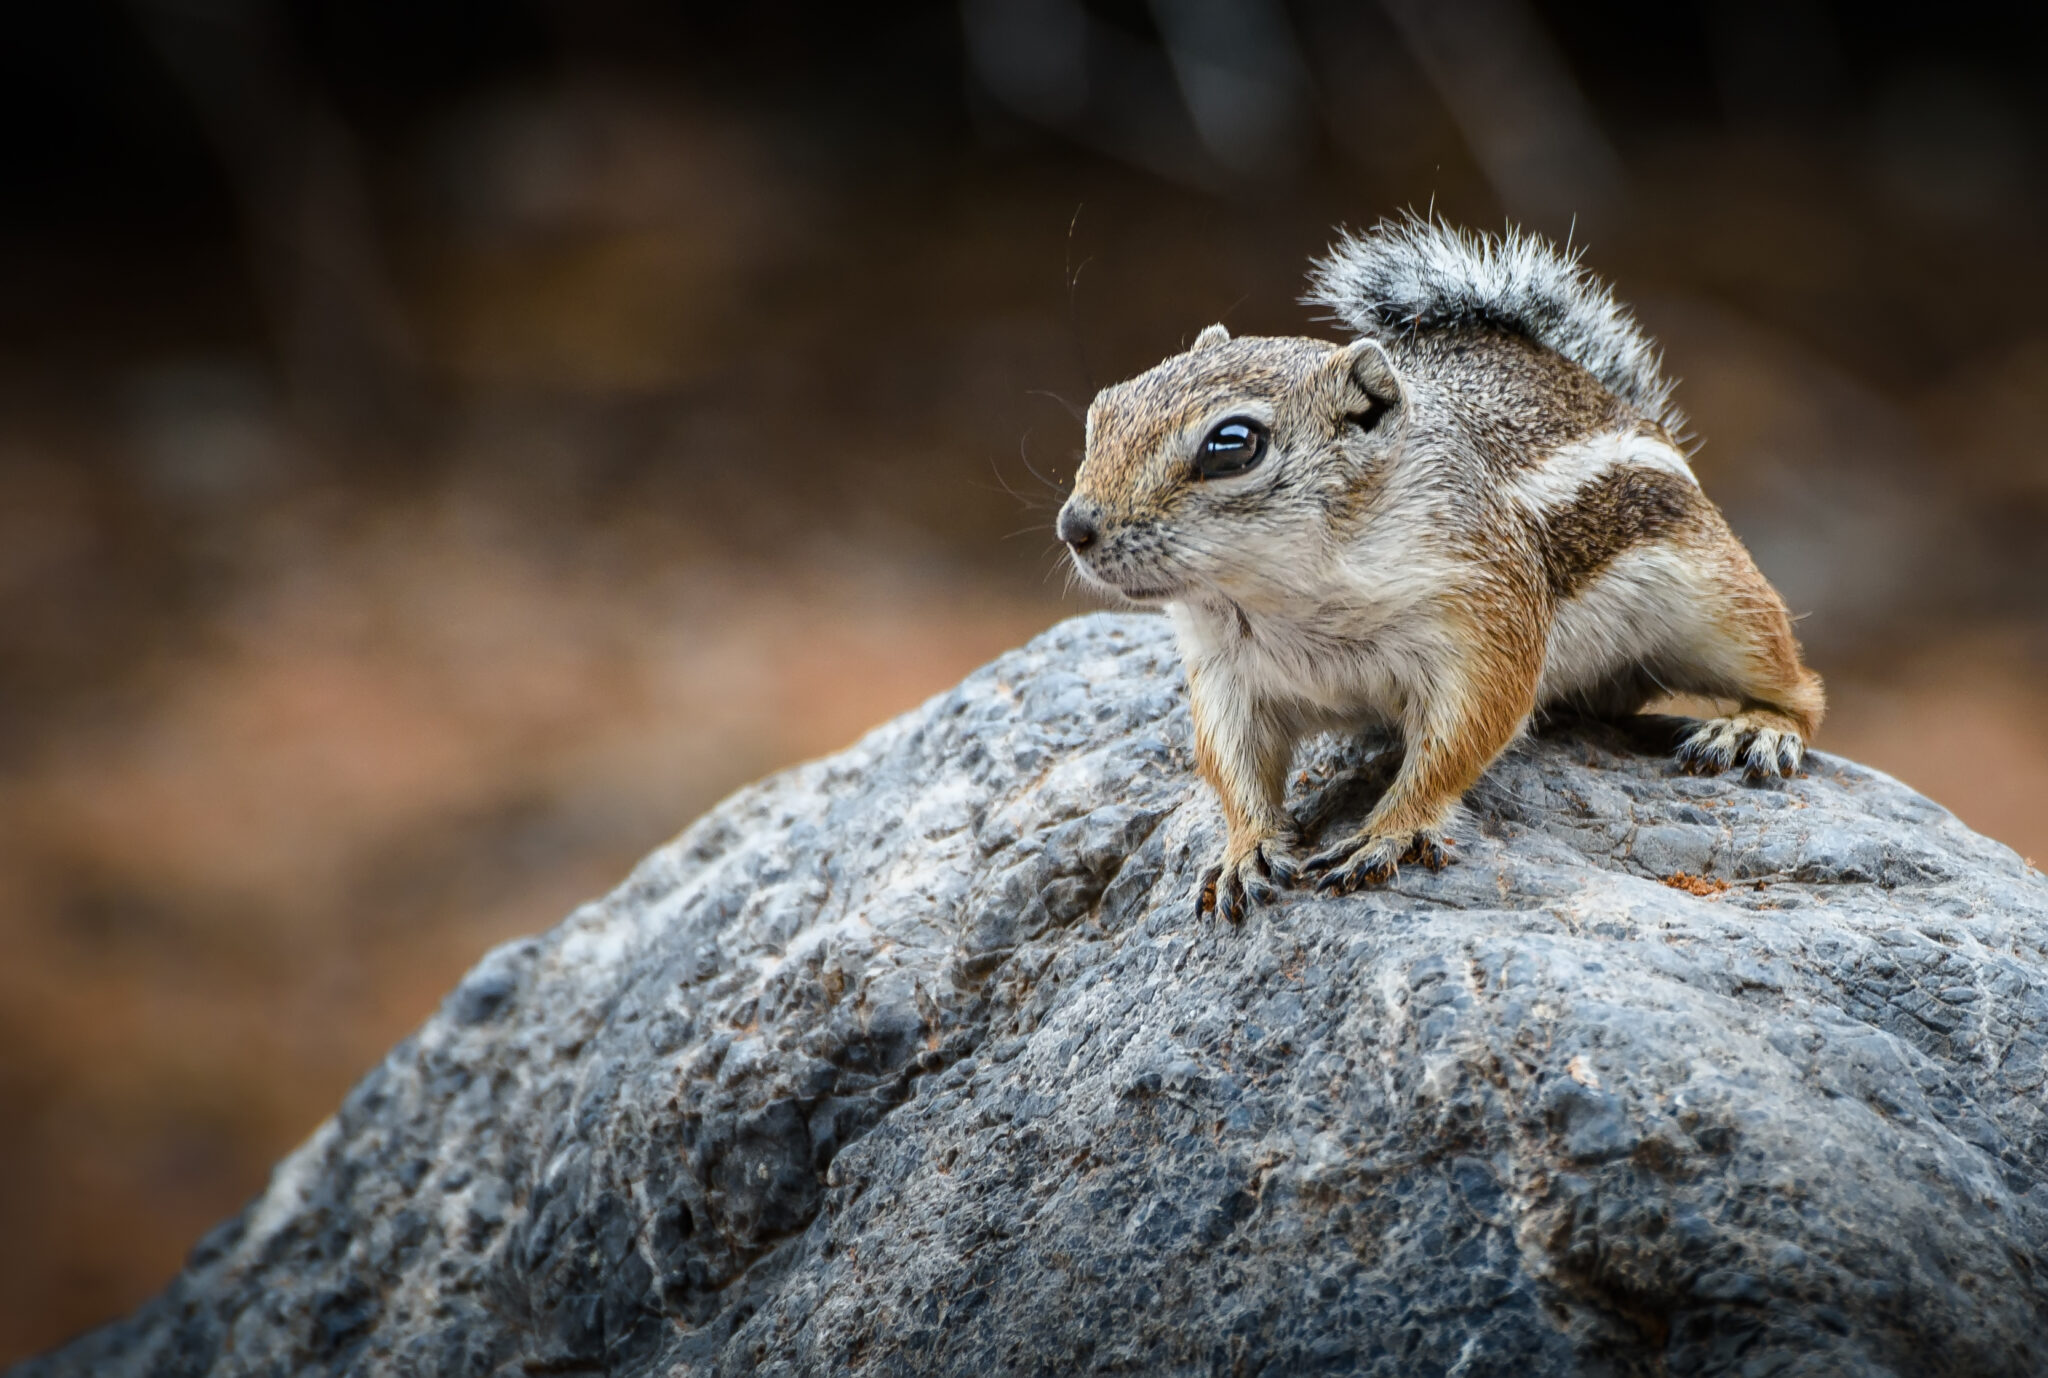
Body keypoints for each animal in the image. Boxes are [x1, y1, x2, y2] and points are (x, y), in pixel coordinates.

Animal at [1056, 217, 1825, 922]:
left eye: (1233, 444)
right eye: (1102, 411)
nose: (1075, 526)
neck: (1285, 600)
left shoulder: (1485, 617)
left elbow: (1463, 738)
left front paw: (1390, 831)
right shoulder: (1224, 671)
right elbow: (1230, 763)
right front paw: (1244, 848)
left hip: (1720, 604)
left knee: (1798, 688)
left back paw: (1756, 729)